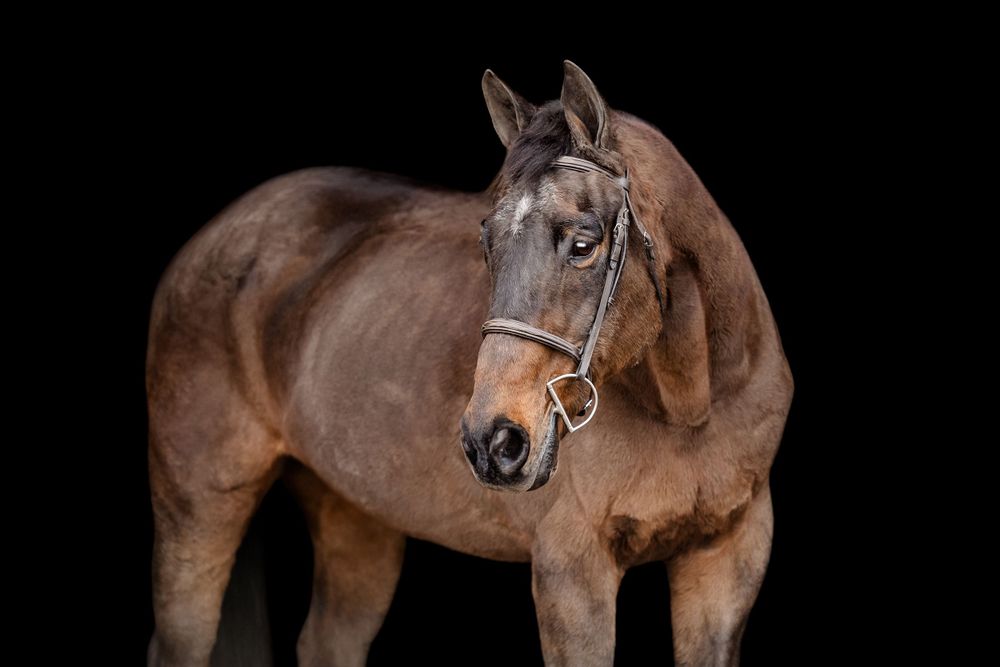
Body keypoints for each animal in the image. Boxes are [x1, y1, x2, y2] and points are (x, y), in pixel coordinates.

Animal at [145, 61, 793, 666]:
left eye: (584, 244)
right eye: (487, 241)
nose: (493, 441)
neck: (691, 409)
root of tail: (210, 240)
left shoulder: (727, 561)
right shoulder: (571, 573)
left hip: (353, 514)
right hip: (198, 508)